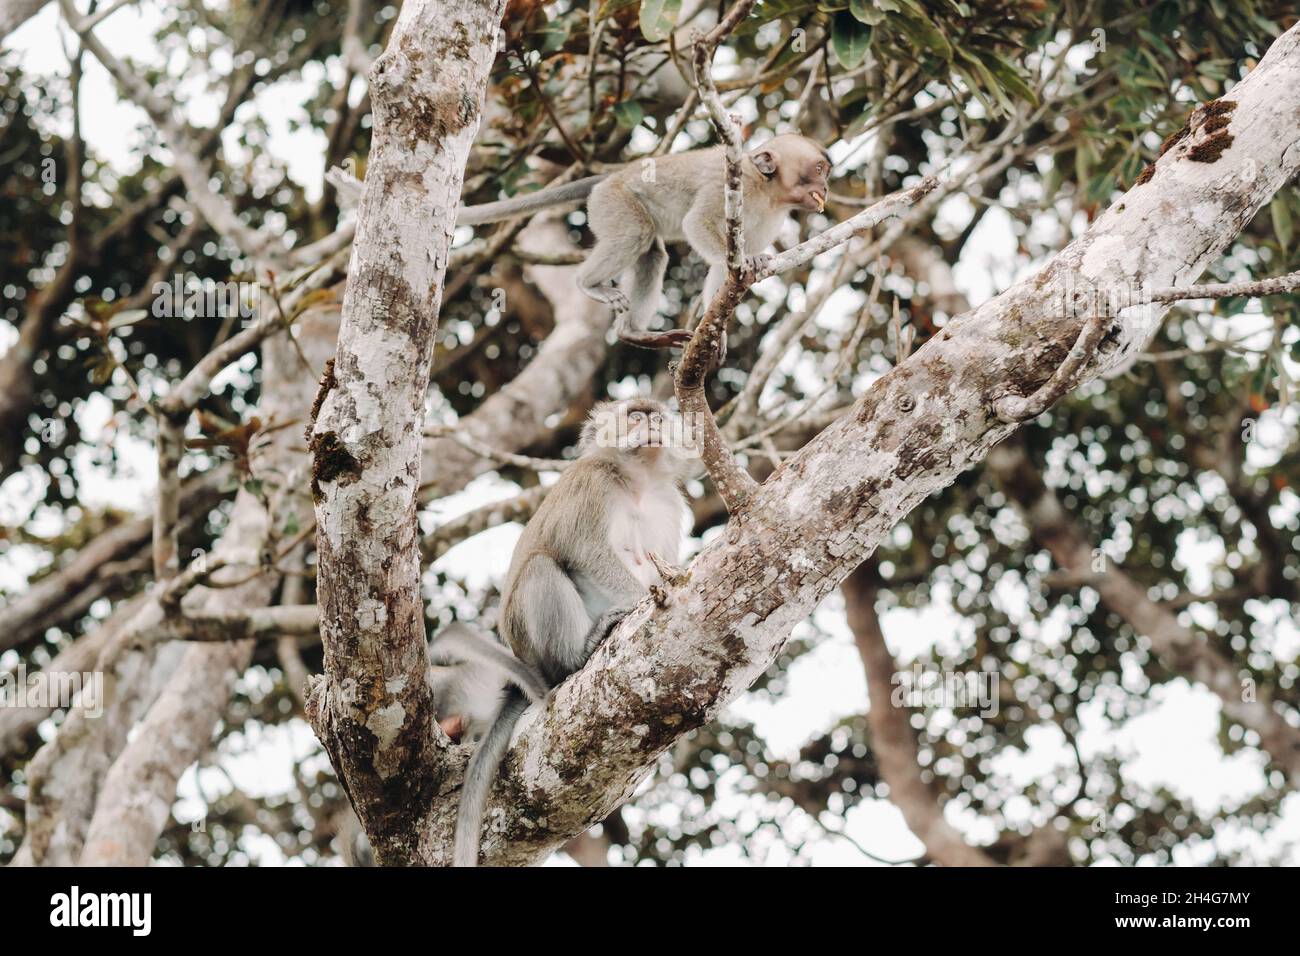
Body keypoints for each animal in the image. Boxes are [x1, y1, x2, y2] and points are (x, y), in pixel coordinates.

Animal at [453, 398, 695, 866]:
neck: (636, 483)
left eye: (657, 414)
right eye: (636, 415)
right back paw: (579, 655)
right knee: (540, 568)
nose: (653, 424)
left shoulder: (667, 504)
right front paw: (640, 601)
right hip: (535, 647)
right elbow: (588, 553)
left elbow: (661, 560)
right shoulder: (592, 487)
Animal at [455, 134, 832, 350]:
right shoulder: (731, 185)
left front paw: (717, 331)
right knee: (636, 234)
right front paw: (750, 263)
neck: (768, 192)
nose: (827, 188)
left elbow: (723, 269)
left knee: (652, 254)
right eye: (819, 170)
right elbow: (698, 225)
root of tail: (612, 176)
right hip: (613, 201)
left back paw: (632, 333)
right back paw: (587, 284)